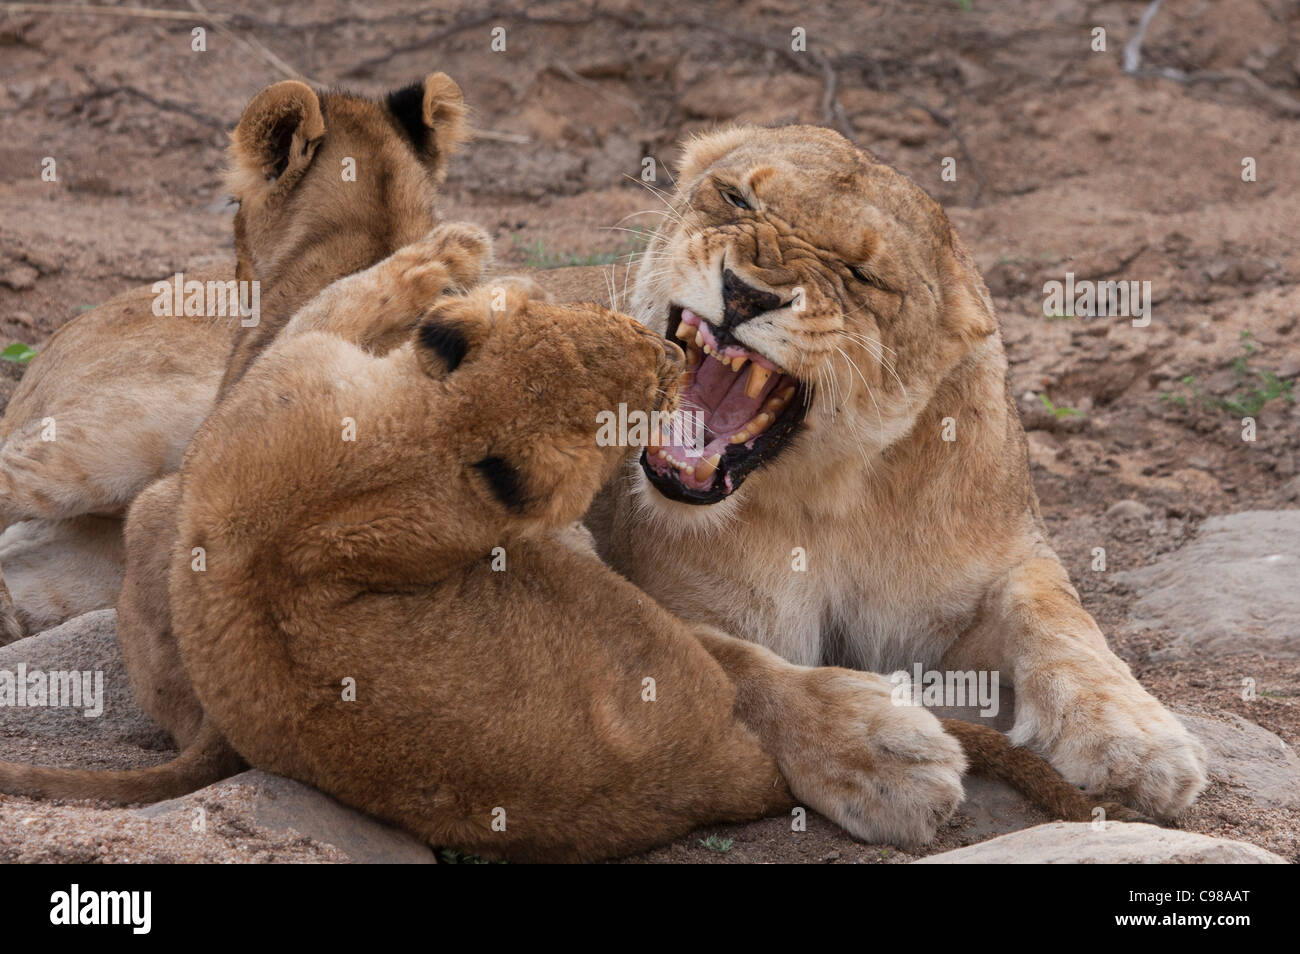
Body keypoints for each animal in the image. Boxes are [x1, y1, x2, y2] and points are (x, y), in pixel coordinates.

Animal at [530, 124, 1208, 822]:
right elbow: (728, 665)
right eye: (736, 199)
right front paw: (875, 747)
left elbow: (1060, 616)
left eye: (862, 275)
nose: (747, 293)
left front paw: (1134, 740)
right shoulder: (651, 600)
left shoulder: (996, 574)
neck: (829, 491)